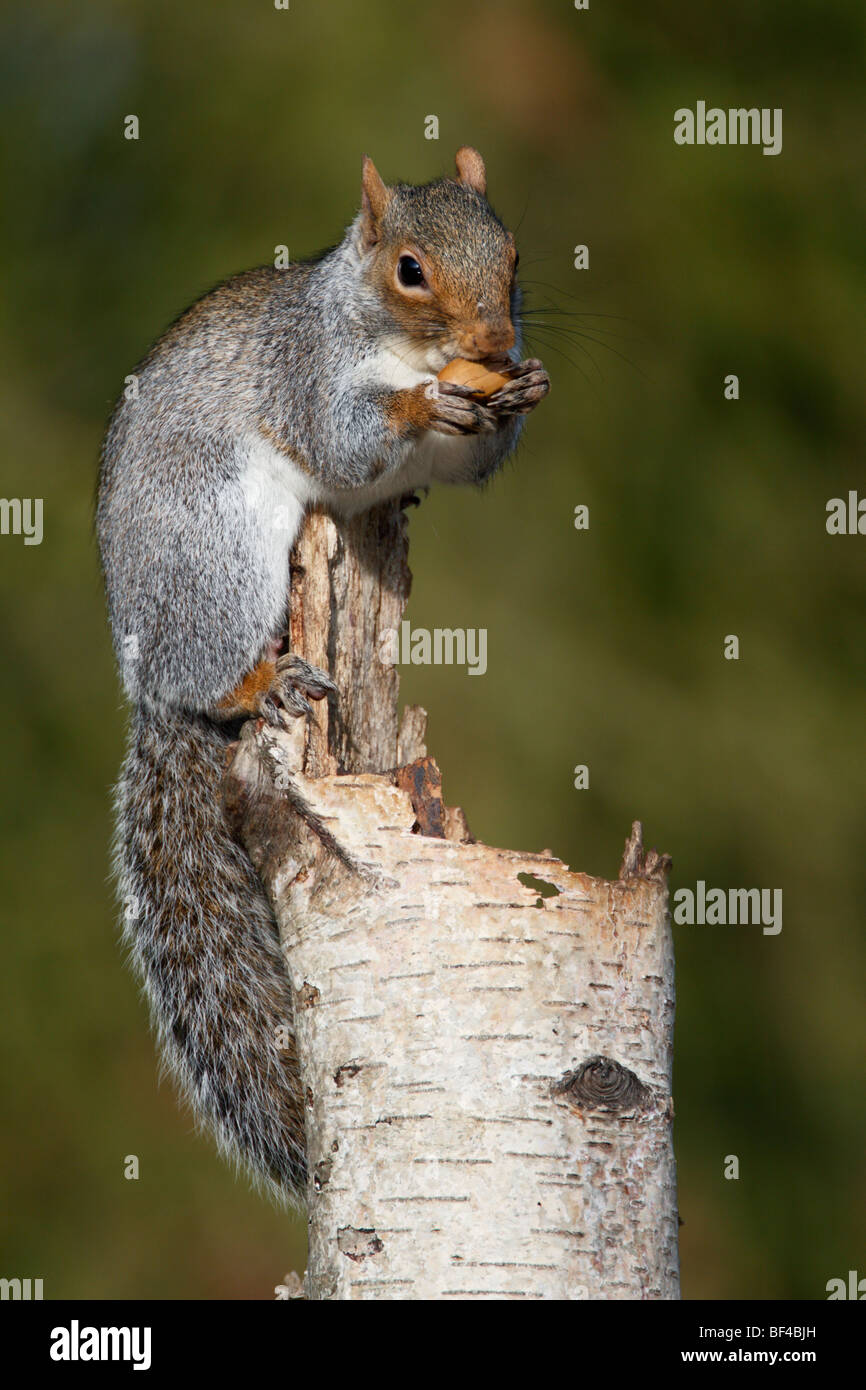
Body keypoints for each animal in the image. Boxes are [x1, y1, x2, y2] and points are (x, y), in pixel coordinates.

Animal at [97, 146, 550, 1205]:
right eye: (410, 271)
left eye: (513, 252)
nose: (498, 341)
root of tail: (146, 677)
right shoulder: (307, 377)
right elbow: (348, 436)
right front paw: (421, 405)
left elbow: (476, 459)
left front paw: (526, 386)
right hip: (218, 547)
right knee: (208, 671)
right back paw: (252, 686)